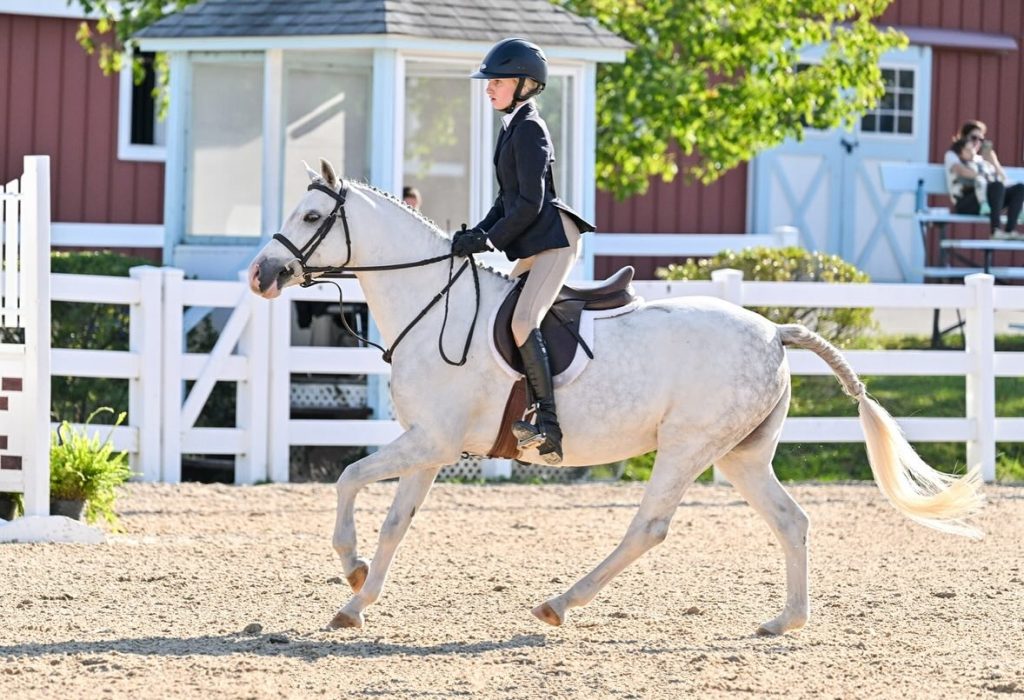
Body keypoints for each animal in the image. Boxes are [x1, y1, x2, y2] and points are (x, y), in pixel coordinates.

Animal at [248, 158, 983, 634]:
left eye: (310, 215)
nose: (262, 275)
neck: (433, 304)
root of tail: (775, 328)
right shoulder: (428, 447)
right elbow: (394, 521)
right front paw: (355, 601)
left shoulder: (432, 441)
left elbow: (347, 478)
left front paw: (349, 569)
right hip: (741, 456)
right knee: (792, 521)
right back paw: (785, 621)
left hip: (687, 446)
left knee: (648, 527)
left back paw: (559, 604)